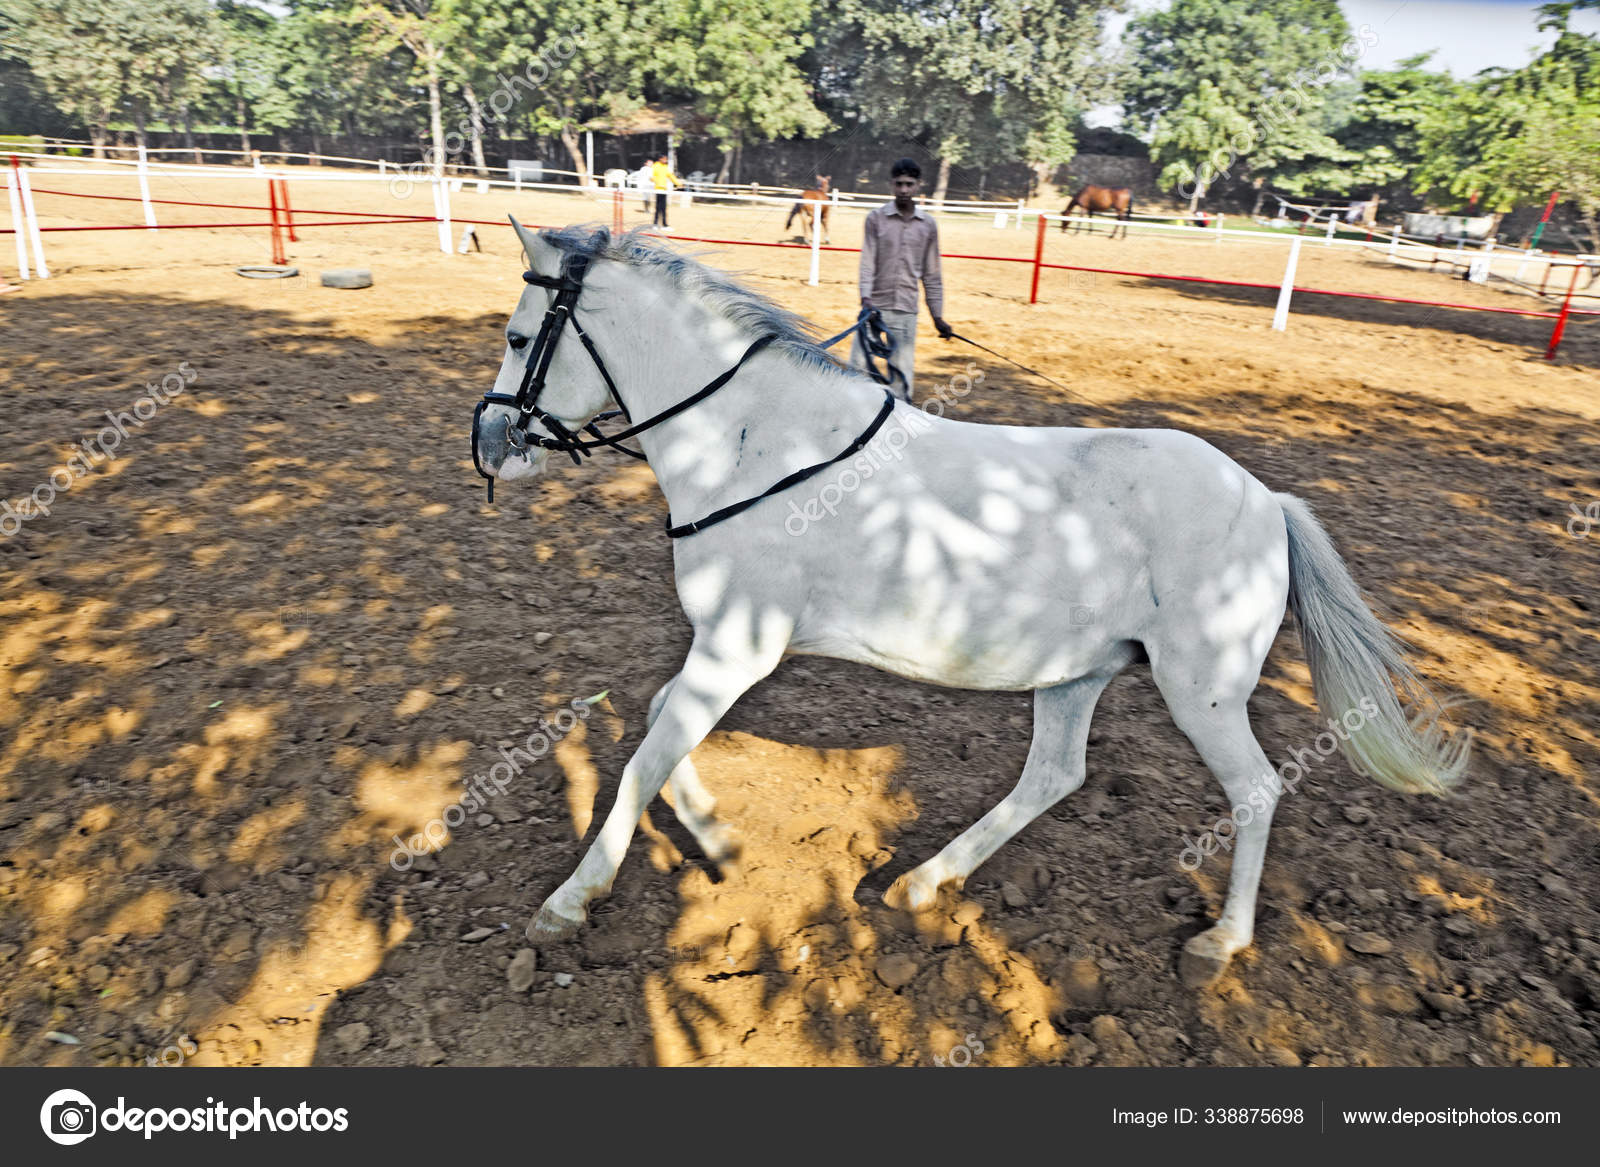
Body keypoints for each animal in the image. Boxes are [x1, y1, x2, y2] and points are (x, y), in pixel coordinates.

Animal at [472, 219, 1469, 990]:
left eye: (521, 339)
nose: (487, 441)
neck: (754, 443)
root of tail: (1268, 502)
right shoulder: (725, 650)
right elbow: (655, 729)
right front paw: (719, 844)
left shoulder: (737, 648)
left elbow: (644, 754)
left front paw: (570, 900)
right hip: (1077, 673)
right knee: (1055, 775)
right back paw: (922, 882)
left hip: (1204, 692)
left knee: (1255, 789)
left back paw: (1220, 943)